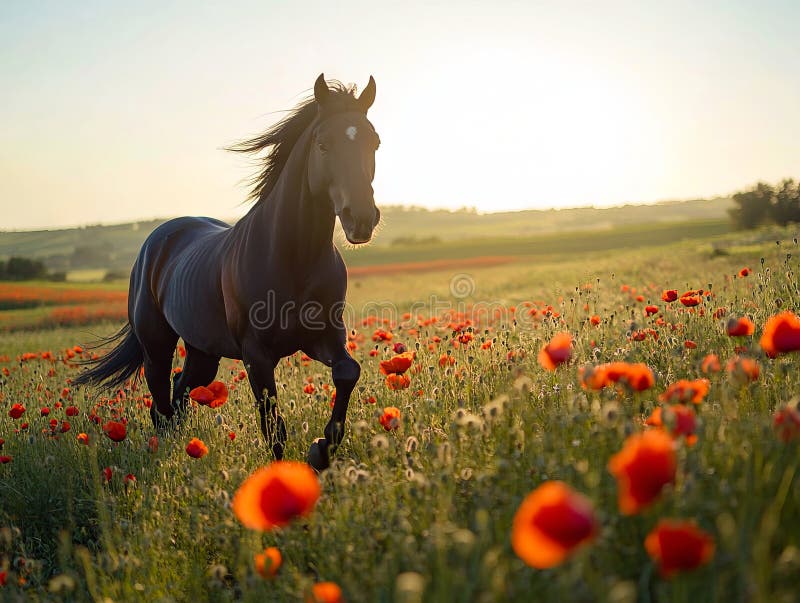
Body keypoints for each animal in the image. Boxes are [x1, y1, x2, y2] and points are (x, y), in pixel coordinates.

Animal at [74, 74, 381, 471]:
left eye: (374, 142)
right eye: (323, 144)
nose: (361, 219)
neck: (293, 257)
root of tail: (157, 242)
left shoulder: (326, 336)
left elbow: (347, 372)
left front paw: (320, 450)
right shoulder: (257, 355)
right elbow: (273, 427)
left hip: (204, 351)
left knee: (181, 390)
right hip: (156, 345)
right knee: (161, 402)